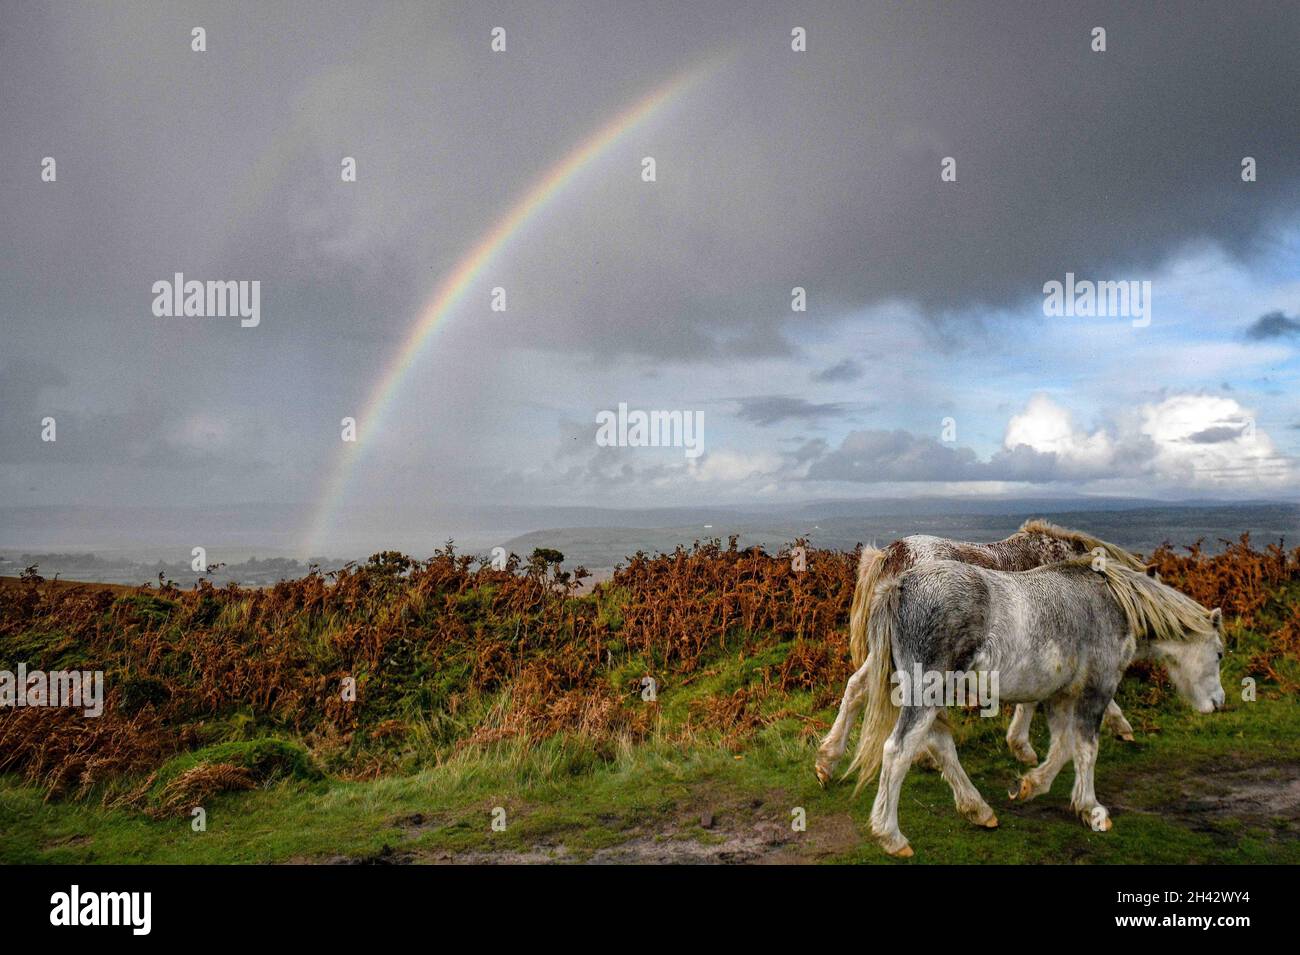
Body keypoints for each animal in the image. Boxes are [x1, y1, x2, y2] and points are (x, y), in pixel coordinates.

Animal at [847, 553, 1225, 857]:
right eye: (1220, 653)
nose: (1219, 703)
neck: (1111, 602)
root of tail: (899, 586)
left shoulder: (1059, 695)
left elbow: (1063, 745)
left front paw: (1031, 785)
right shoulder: (1098, 690)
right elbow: (1086, 748)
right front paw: (1092, 809)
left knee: (939, 744)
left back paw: (978, 810)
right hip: (925, 694)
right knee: (898, 751)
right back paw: (891, 836)